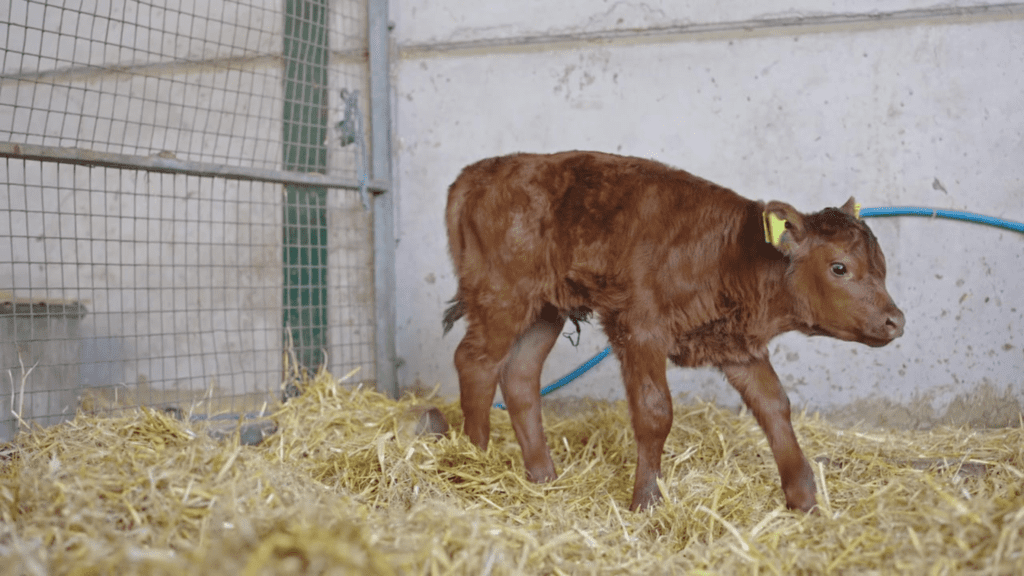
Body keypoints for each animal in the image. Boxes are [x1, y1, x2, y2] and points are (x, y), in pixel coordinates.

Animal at [442, 151, 905, 512]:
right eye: (839, 267)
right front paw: (646, 501)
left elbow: (775, 407)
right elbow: (654, 412)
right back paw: (474, 461)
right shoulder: (640, 331)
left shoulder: (737, 346)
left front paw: (804, 499)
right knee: (475, 362)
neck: (727, 252)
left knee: (519, 375)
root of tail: (477, 173)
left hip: (545, 309)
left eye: (882, 263)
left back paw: (543, 477)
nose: (896, 321)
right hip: (502, 296)